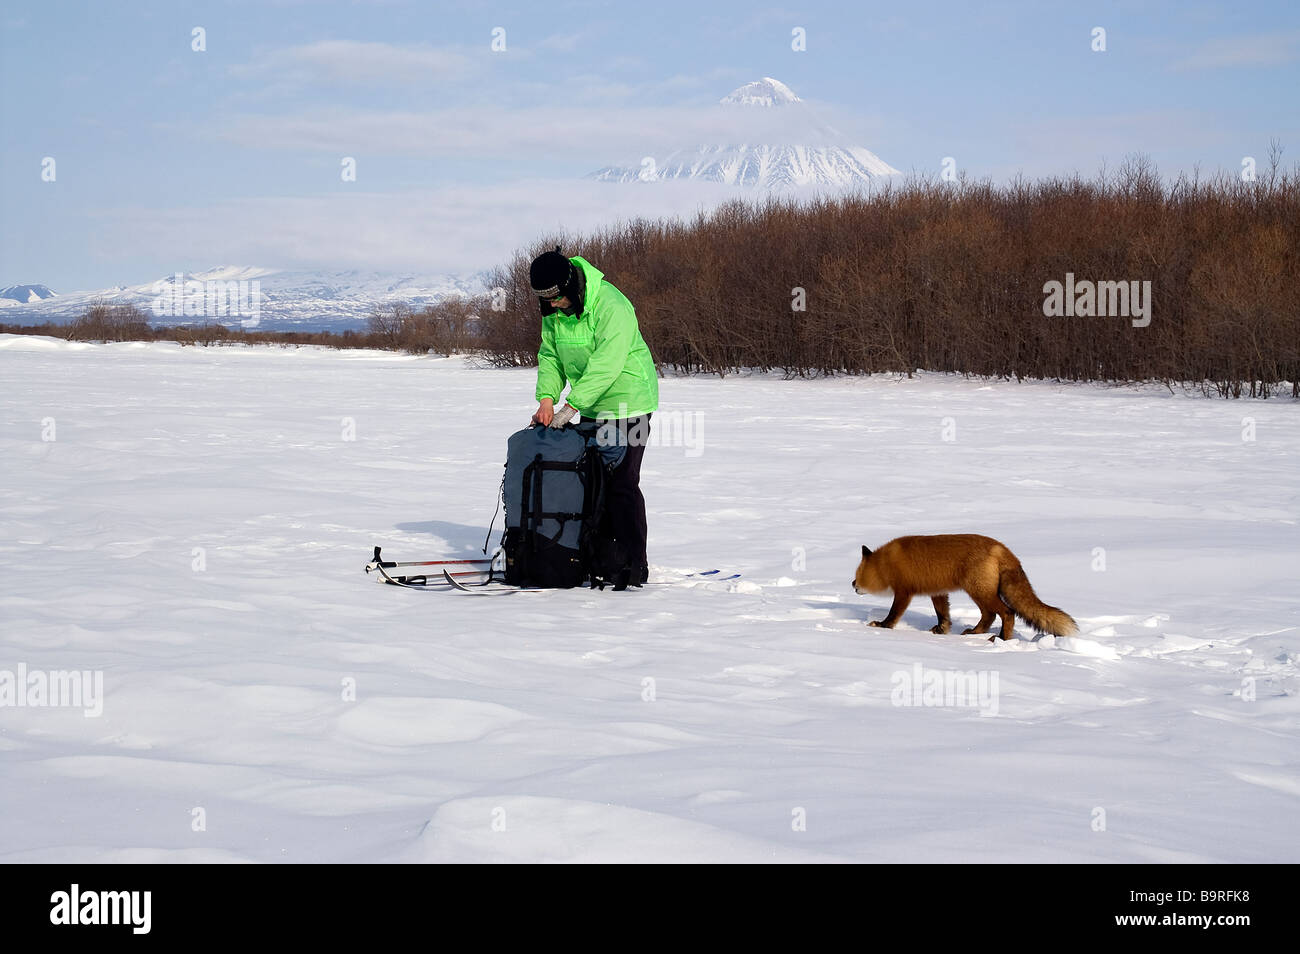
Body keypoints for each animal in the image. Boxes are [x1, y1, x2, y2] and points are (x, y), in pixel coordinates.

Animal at [852, 534, 1078, 641]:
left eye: (857, 575)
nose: (852, 584)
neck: (885, 563)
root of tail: (1003, 549)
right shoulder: (938, 592)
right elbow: (943, 615)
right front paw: (941, 630)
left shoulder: (904, 591)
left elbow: (893, 614)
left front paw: (882, 626)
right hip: (979, 592)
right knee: (989, 615)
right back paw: (975, 633)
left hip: (979, 591)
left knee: (1006, 612)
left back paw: (1001, 639)